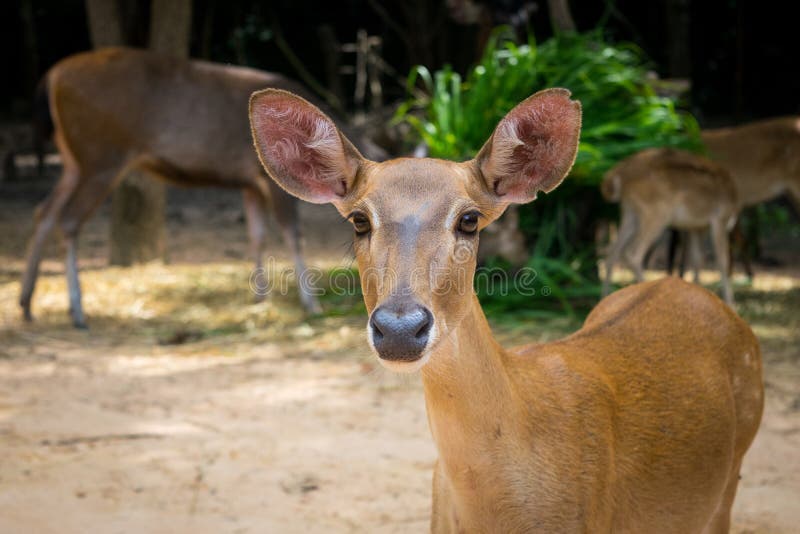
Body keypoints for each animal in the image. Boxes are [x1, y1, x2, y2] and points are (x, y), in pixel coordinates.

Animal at [20, 47, 386, 328]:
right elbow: (292, 232)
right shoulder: (266, 178)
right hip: (100, 154)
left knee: (43, 211)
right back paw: (77, 311)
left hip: (74, 159)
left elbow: (256, 234)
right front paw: (310, 304)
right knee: (68, 219)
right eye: (361, 216)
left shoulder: (249, 182)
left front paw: (260, 296)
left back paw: (26, 302)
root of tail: (52, 78)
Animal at [601, 148, 739, 305]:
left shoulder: (696, 227)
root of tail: (616, 176)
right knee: (633, 253)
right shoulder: (719, 218)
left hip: (630, 212)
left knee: (613, 251)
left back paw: (605, 298)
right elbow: (723, 261)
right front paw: (731, 304)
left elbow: (698, 259)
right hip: (657, 212)